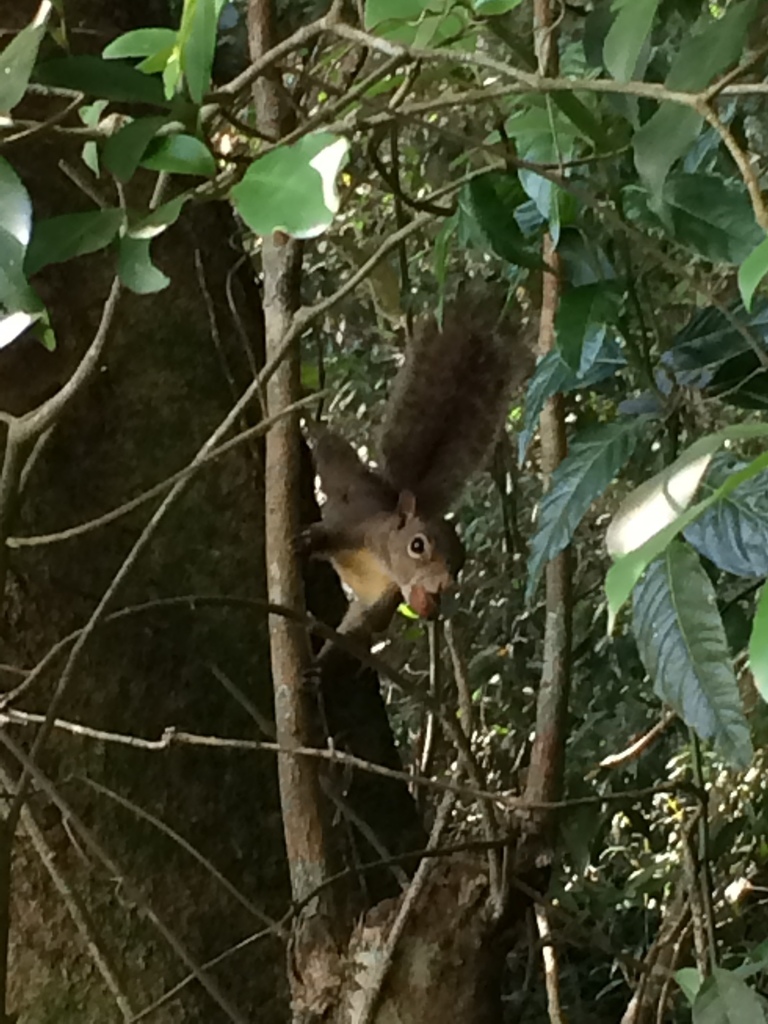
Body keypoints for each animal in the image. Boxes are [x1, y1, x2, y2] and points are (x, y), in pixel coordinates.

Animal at [300, 296, 529, 637]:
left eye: (459, 563)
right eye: (417, 546)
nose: (442, 586)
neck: (381, 565)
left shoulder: (385, 600)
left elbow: (364, 632)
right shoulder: (356, 528)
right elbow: (328, 534)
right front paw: (308, 540)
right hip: (339, 470)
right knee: (331, 451)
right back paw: (309, 425)